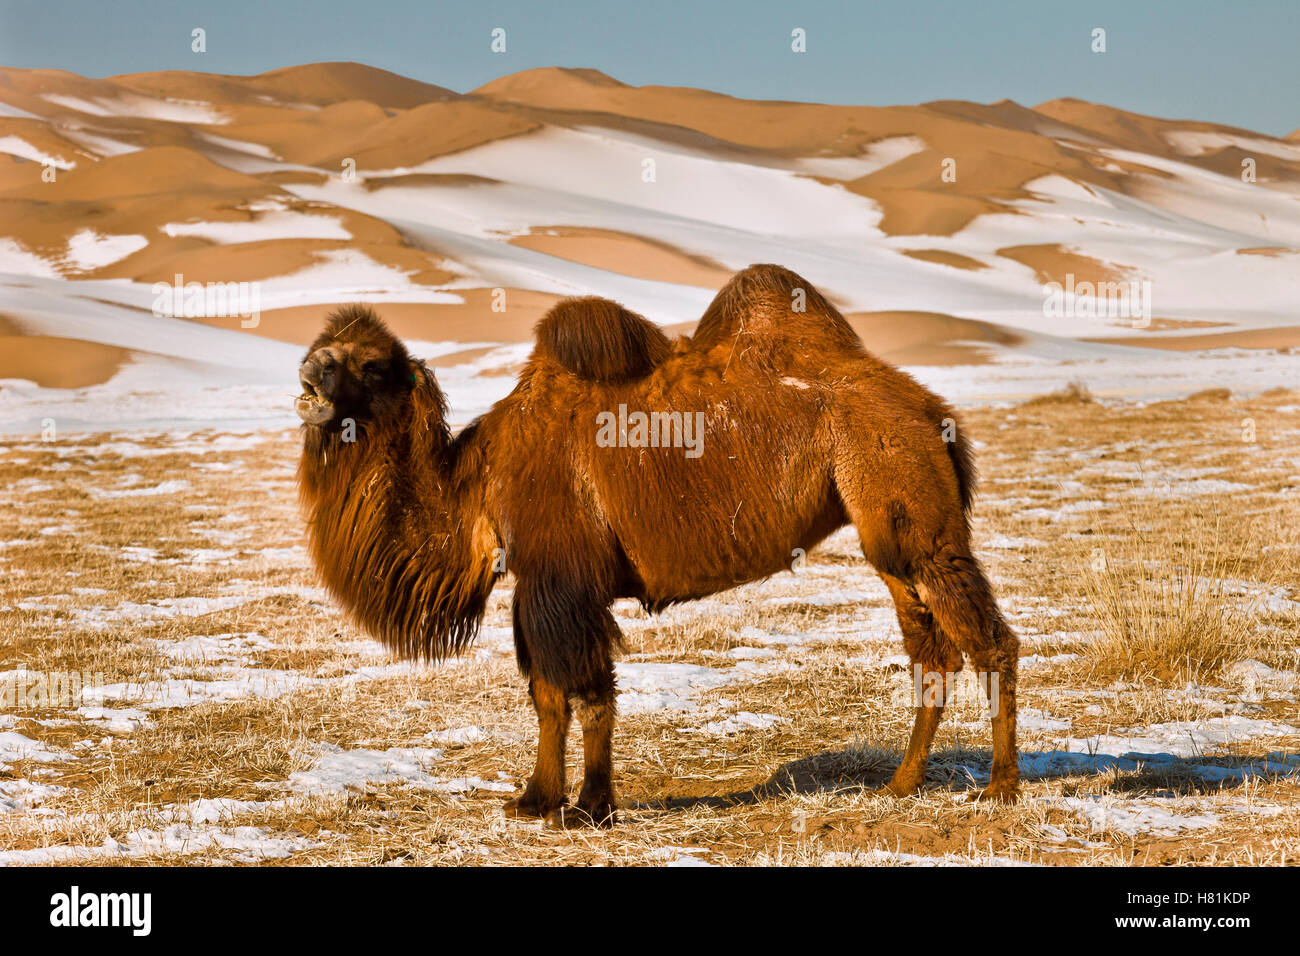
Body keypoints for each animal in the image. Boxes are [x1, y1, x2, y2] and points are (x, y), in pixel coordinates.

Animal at [295, 264, 1019, 827]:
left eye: (370, 364)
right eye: (323, 347)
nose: (310, 371)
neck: (475, 481)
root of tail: (931, 410)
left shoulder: (563, 581)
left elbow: (586, 694)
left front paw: (588, 809)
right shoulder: (539, 585)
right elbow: (548, 697)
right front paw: (534, 800)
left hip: (914, 510)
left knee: (989, 642)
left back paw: (1000, 789)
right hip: (887, 532)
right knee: (932, 650)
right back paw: (901, 783)